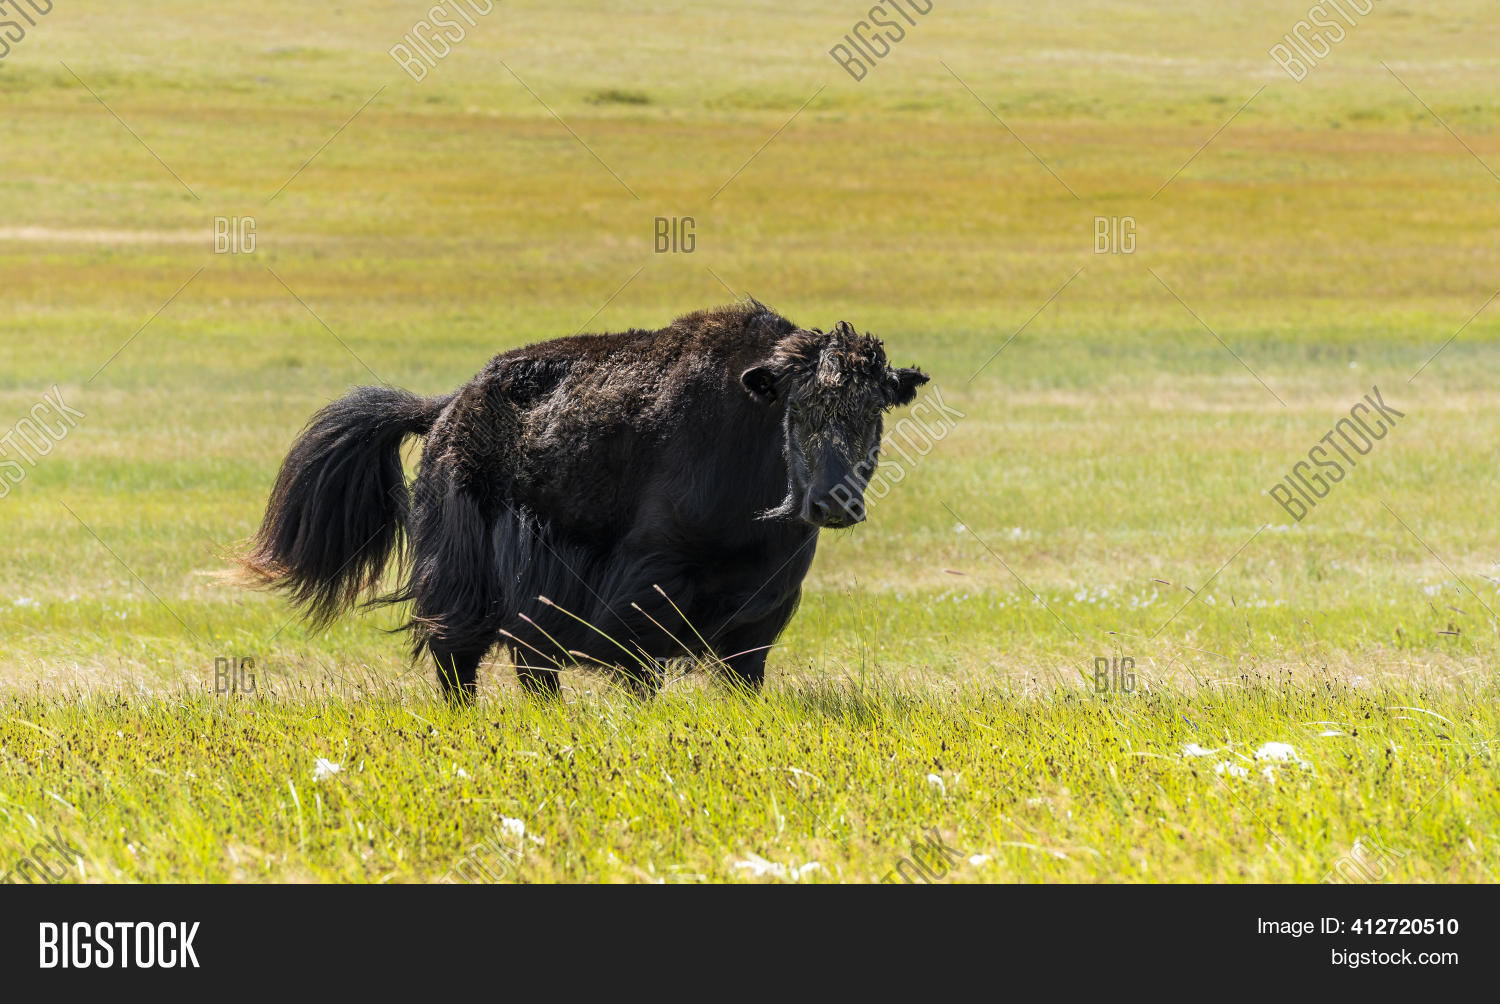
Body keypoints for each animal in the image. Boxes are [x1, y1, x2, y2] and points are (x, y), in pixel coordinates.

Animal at [237, 301, 928, 702]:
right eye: (798, 411)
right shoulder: (648, 577)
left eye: (872, 414)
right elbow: (639, 659)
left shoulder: (765, 597)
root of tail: (446, 406)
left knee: (527, 660)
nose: (833, 503)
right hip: (465, 565)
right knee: (458, 652)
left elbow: (744, 671)